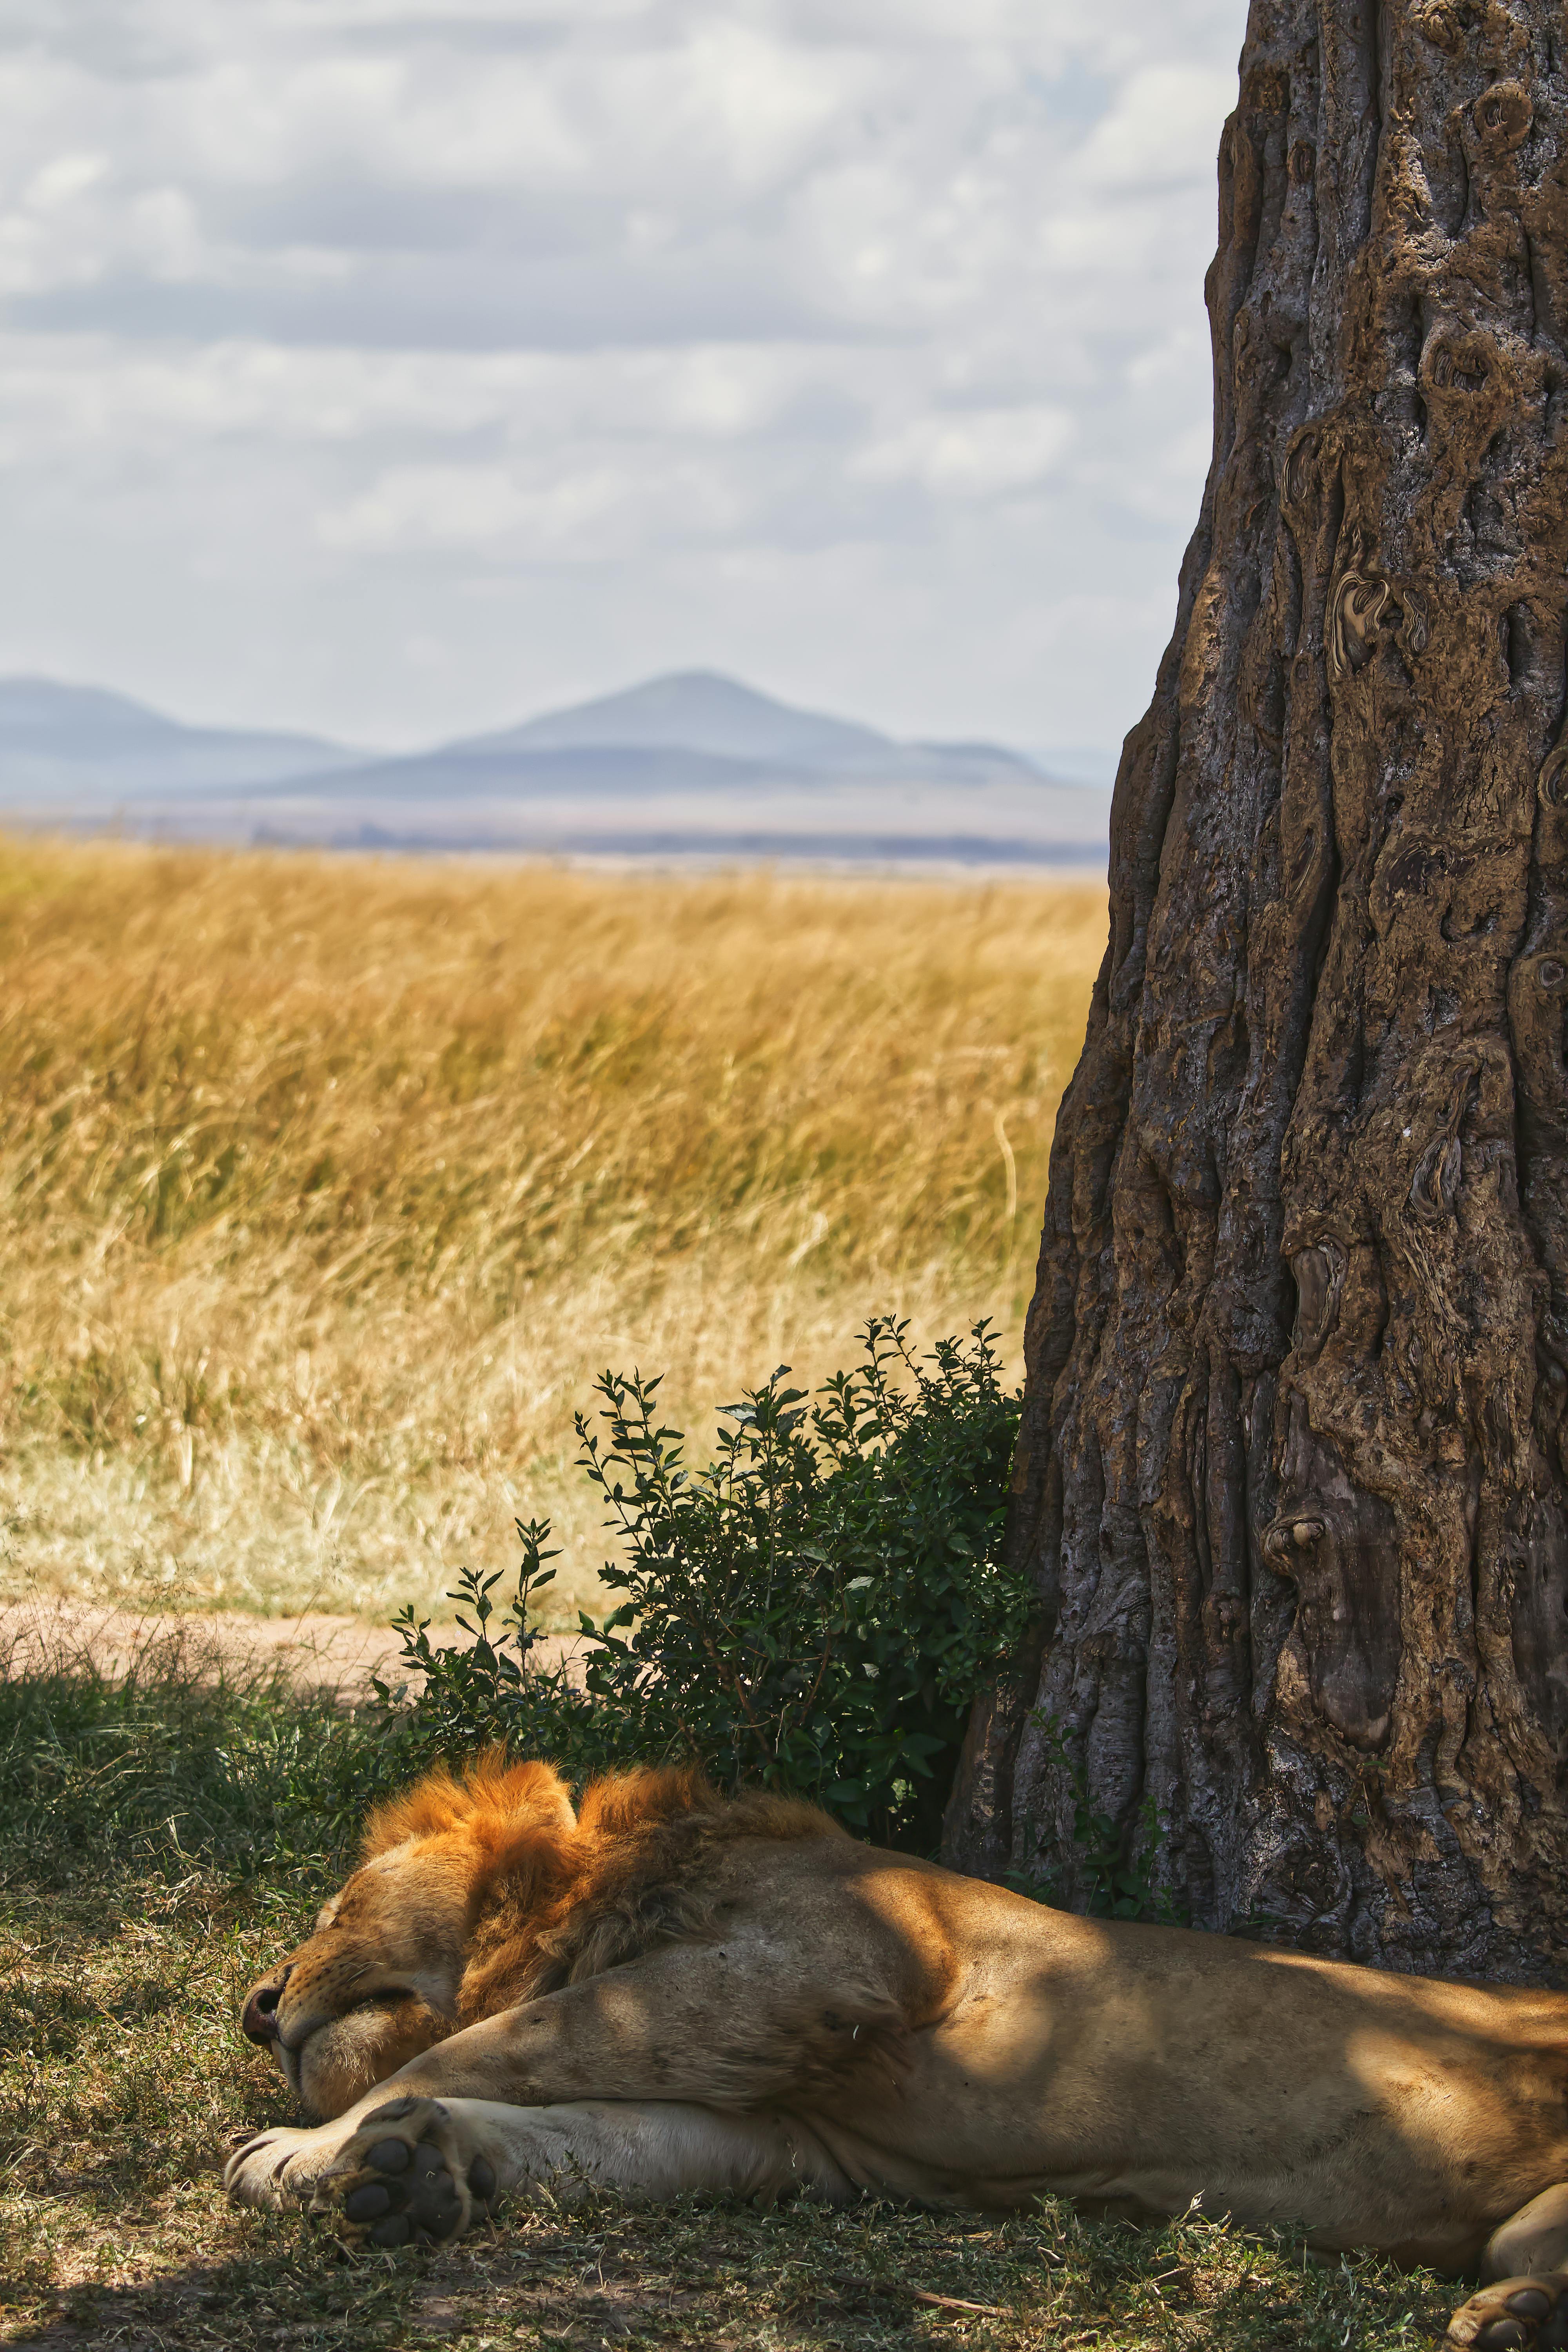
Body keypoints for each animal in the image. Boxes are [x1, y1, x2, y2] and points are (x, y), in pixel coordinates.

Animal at [227, 1754, 1568, 2349]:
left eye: (336, 1906)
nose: (255, 2003)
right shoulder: (783, 2132)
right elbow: (573, 2125)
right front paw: (412, 2173)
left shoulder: (830, 1965)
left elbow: (493, 2042)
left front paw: (298, 2149)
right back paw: (1522, 2318)